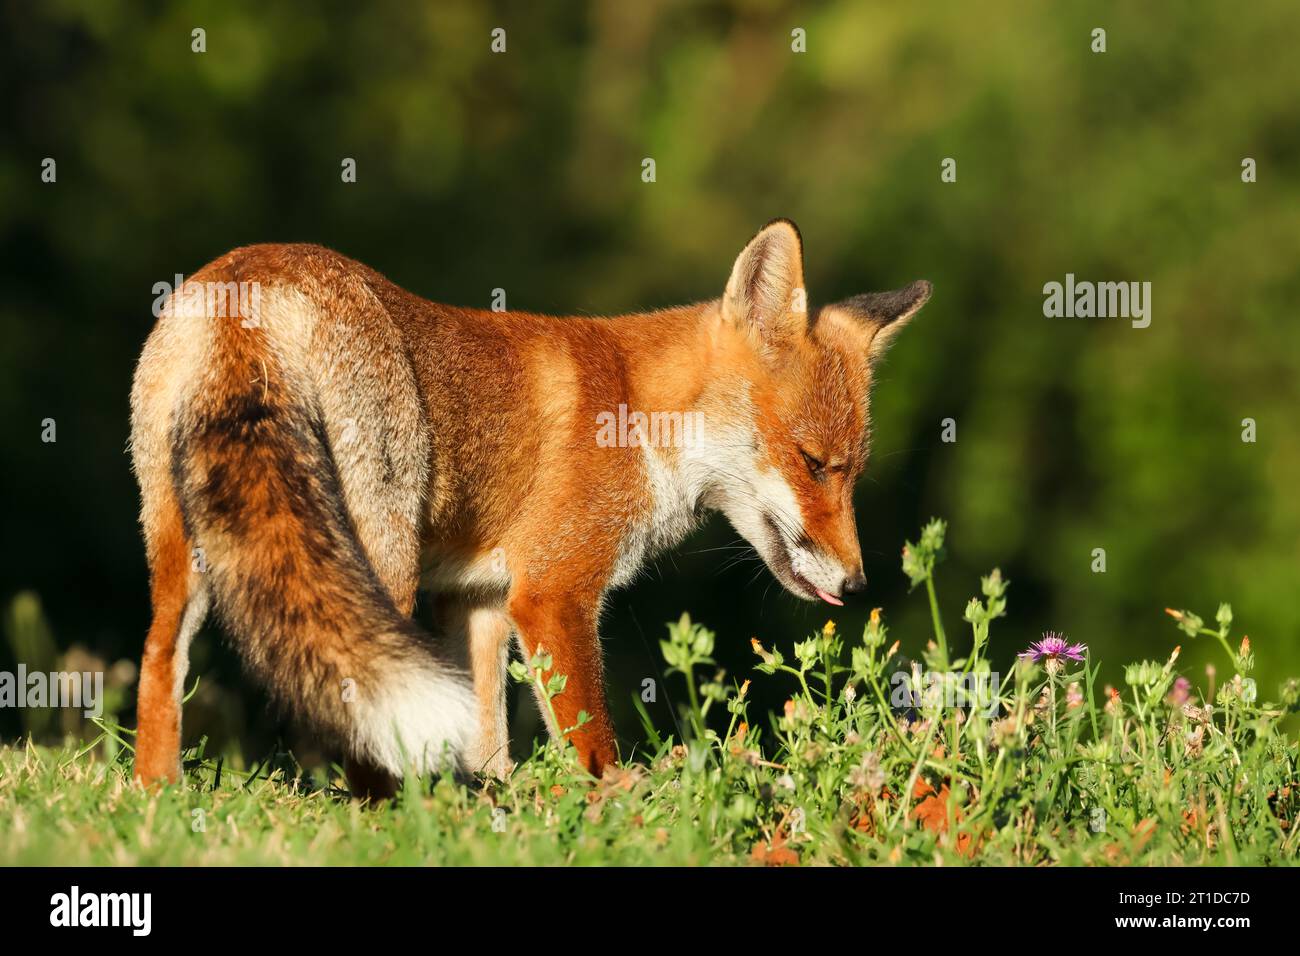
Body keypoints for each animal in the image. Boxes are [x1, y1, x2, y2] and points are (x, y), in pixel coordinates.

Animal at [129, 218, 931, 795]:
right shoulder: (552, 591)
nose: (859, 582)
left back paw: (156, 796)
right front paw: (614, 803)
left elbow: (489, 737)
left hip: (188, 547)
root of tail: (255, 278)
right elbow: (588, 738)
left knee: (157, 662)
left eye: (853, 474)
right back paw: (391, 811)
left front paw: (503, 809)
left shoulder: (480, 599)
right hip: (377, 549)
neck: (640, 415)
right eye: (812, 463)